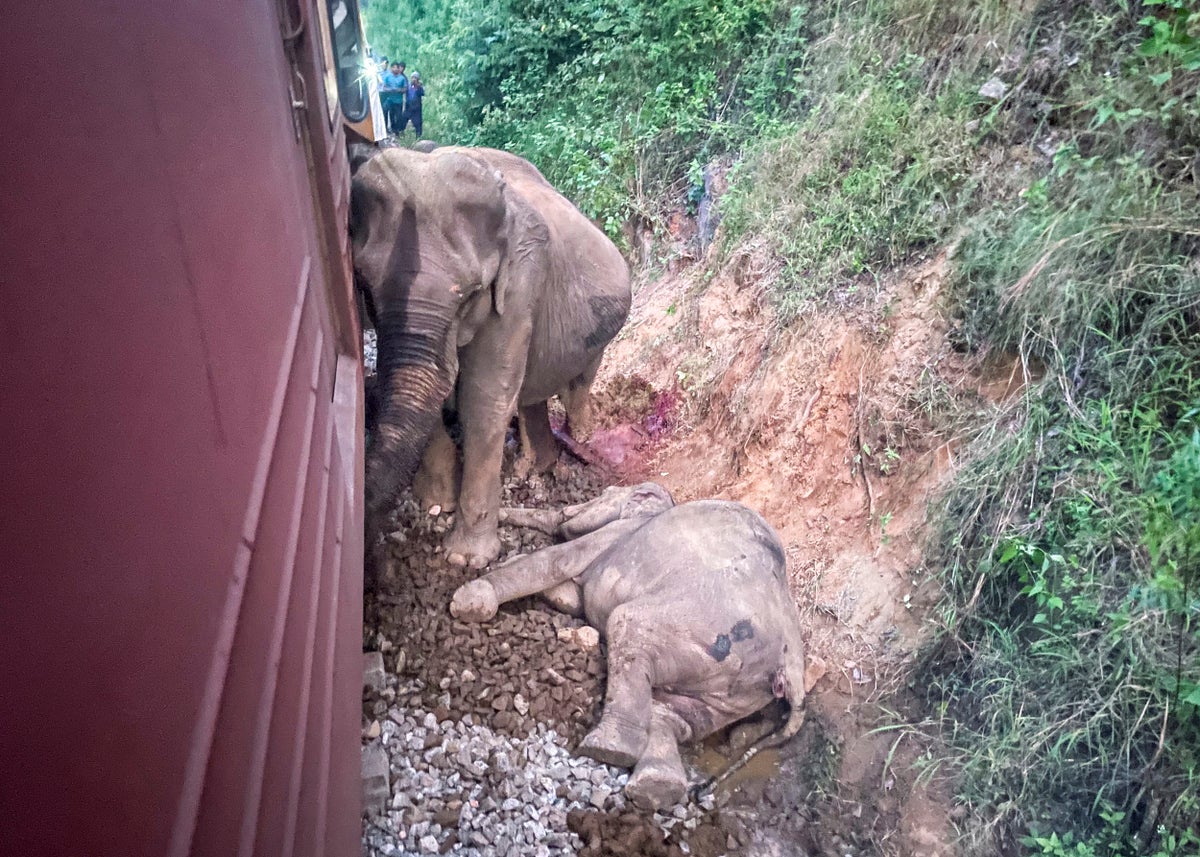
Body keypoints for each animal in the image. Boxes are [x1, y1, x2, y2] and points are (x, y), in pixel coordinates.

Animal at [351, 146, 631, 573]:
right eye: (364, 287)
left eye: (471, 294)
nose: (373, 564)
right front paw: (435, 502)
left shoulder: (522, 279)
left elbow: (484, 398)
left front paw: (465, 559)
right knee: (532, 393)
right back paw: (535, 466)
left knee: (576, 385)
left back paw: (577, 440)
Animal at [449, 484, 808, 810]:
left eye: (602, 494)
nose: (500, 514)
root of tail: (792, 667)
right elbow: (571, 597)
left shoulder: (616, 535)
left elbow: (558, 561)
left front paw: (470, 602)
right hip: (732, 693)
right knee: (672, 717)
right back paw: (656, 788)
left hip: (700, 638)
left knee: (628, 627)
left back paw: (607, 749)